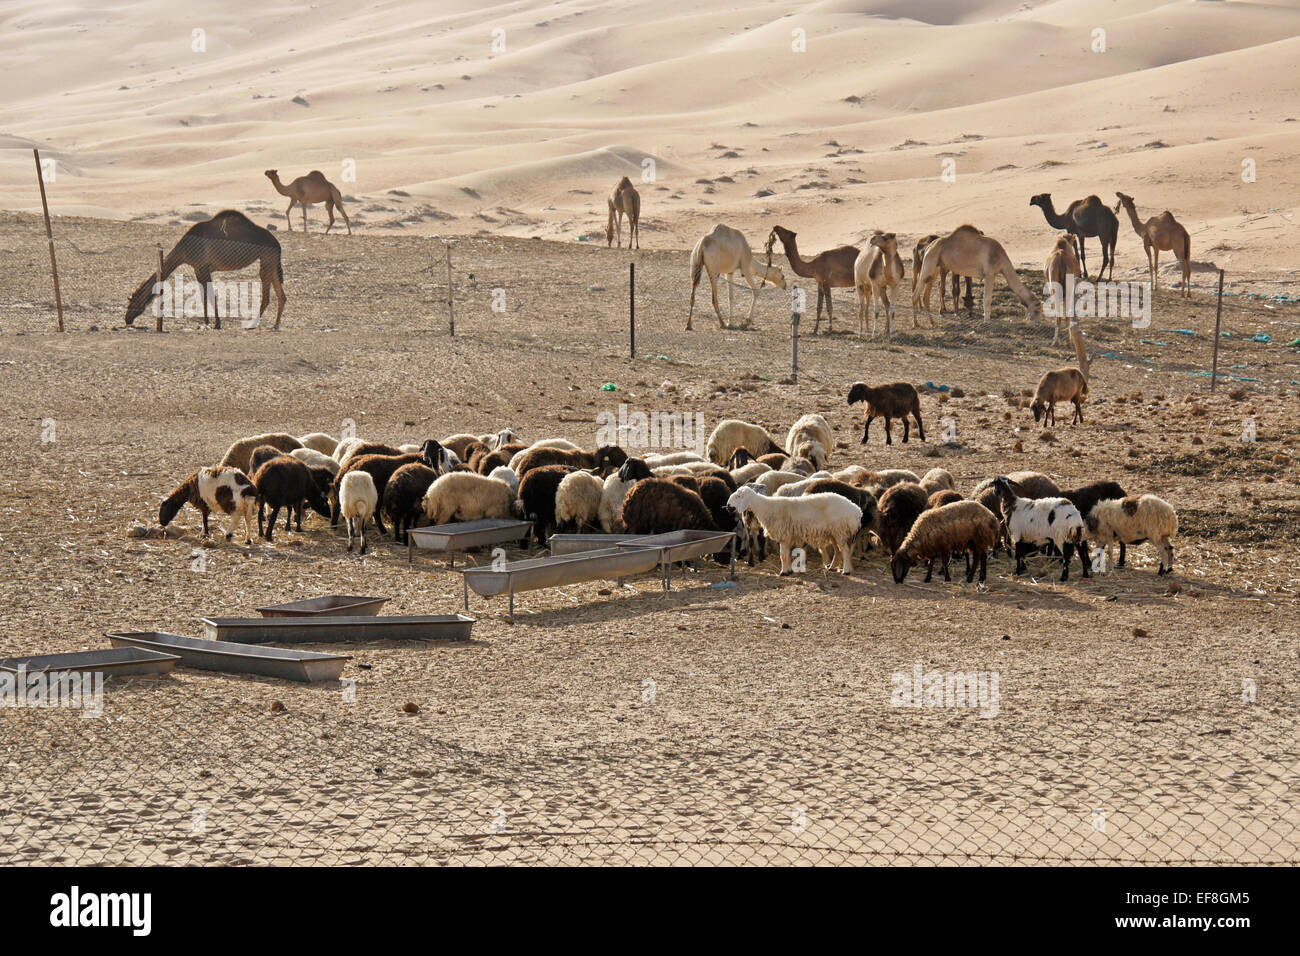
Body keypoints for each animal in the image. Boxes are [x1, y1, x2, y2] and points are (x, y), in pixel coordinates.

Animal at [124, 210, 286, 330]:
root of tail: (277, 244)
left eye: (132, 303)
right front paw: (207, 322)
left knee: (266, 296)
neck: (183, 250)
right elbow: (204, 295)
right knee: (281, 295)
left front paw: (217, 323)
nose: (127, 319)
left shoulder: (203, 266)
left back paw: (252, 324)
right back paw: (276, 325)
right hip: (270, 261)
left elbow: (211, 295)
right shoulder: (197, 268)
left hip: (266, 258)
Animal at [727, 485, 861, 575]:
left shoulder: (783, 535)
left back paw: (846, 571)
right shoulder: (787, 536)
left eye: (739, 496)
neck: (765, 508)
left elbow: (783, 555)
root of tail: (856, 511)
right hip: (834, 532)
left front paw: (783, 572)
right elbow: (786, 554)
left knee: (844, 550)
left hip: (840, 530)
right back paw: (832, 567)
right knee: (838, 551)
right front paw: (789, 570)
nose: (728, 505)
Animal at [912, 225, 1043, 326]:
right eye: (1038, 310)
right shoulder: (990, 273)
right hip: (929, 262)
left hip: (935, 267)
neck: (1002, 260)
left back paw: (932, 323)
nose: (1038, 322)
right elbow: (987, 299)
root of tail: (928, 247)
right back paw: (916, 324)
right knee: (915, 293)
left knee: (926, 295)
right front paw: (987, 321)